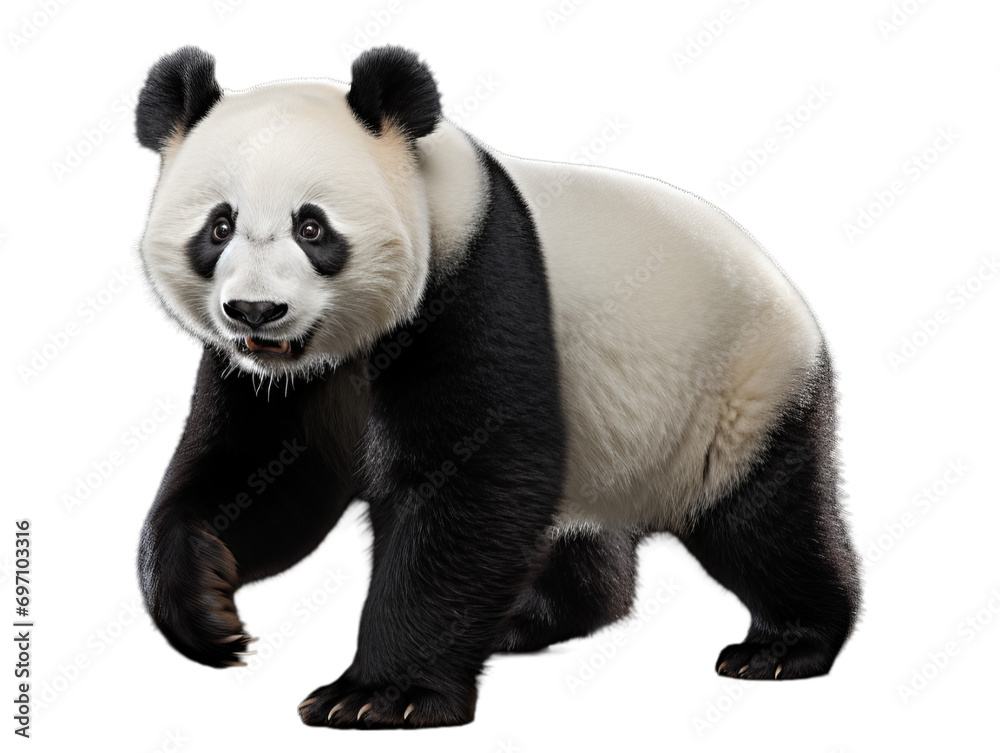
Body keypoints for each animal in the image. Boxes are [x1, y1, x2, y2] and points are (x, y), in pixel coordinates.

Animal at [134, 45, 861, 729]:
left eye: (311, 227)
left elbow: (470, 475)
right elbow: (265, 476)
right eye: (219, 226)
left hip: (738, 385)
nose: (256, 311)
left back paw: (783, 645)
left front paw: (378, 696)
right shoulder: (269, 378)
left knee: (764, 522)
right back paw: (524, 618)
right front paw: (207, 606)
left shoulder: (476, 277)